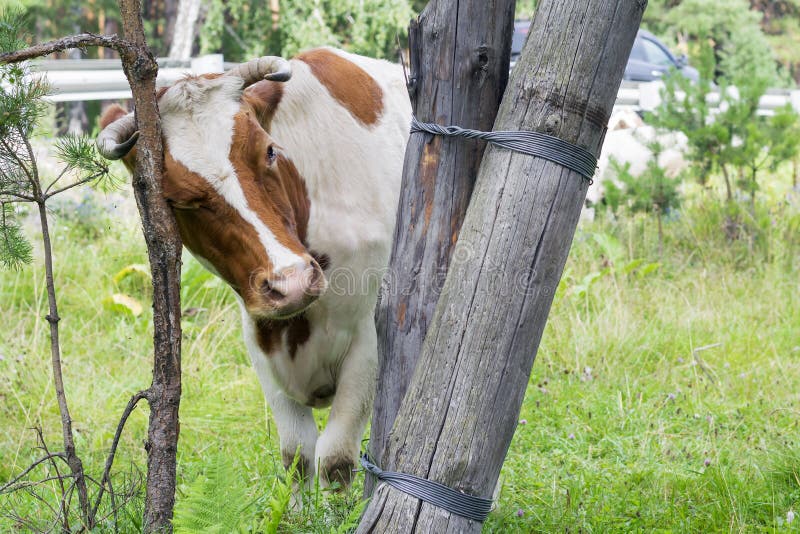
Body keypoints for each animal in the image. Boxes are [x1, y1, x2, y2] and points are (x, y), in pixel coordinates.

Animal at [96, 47, 411, 489]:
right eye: (179, 199)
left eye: (270, 151)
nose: (292, 282)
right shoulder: (260, 338)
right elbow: (297, 456)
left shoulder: (369, 340)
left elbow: (335, 461)